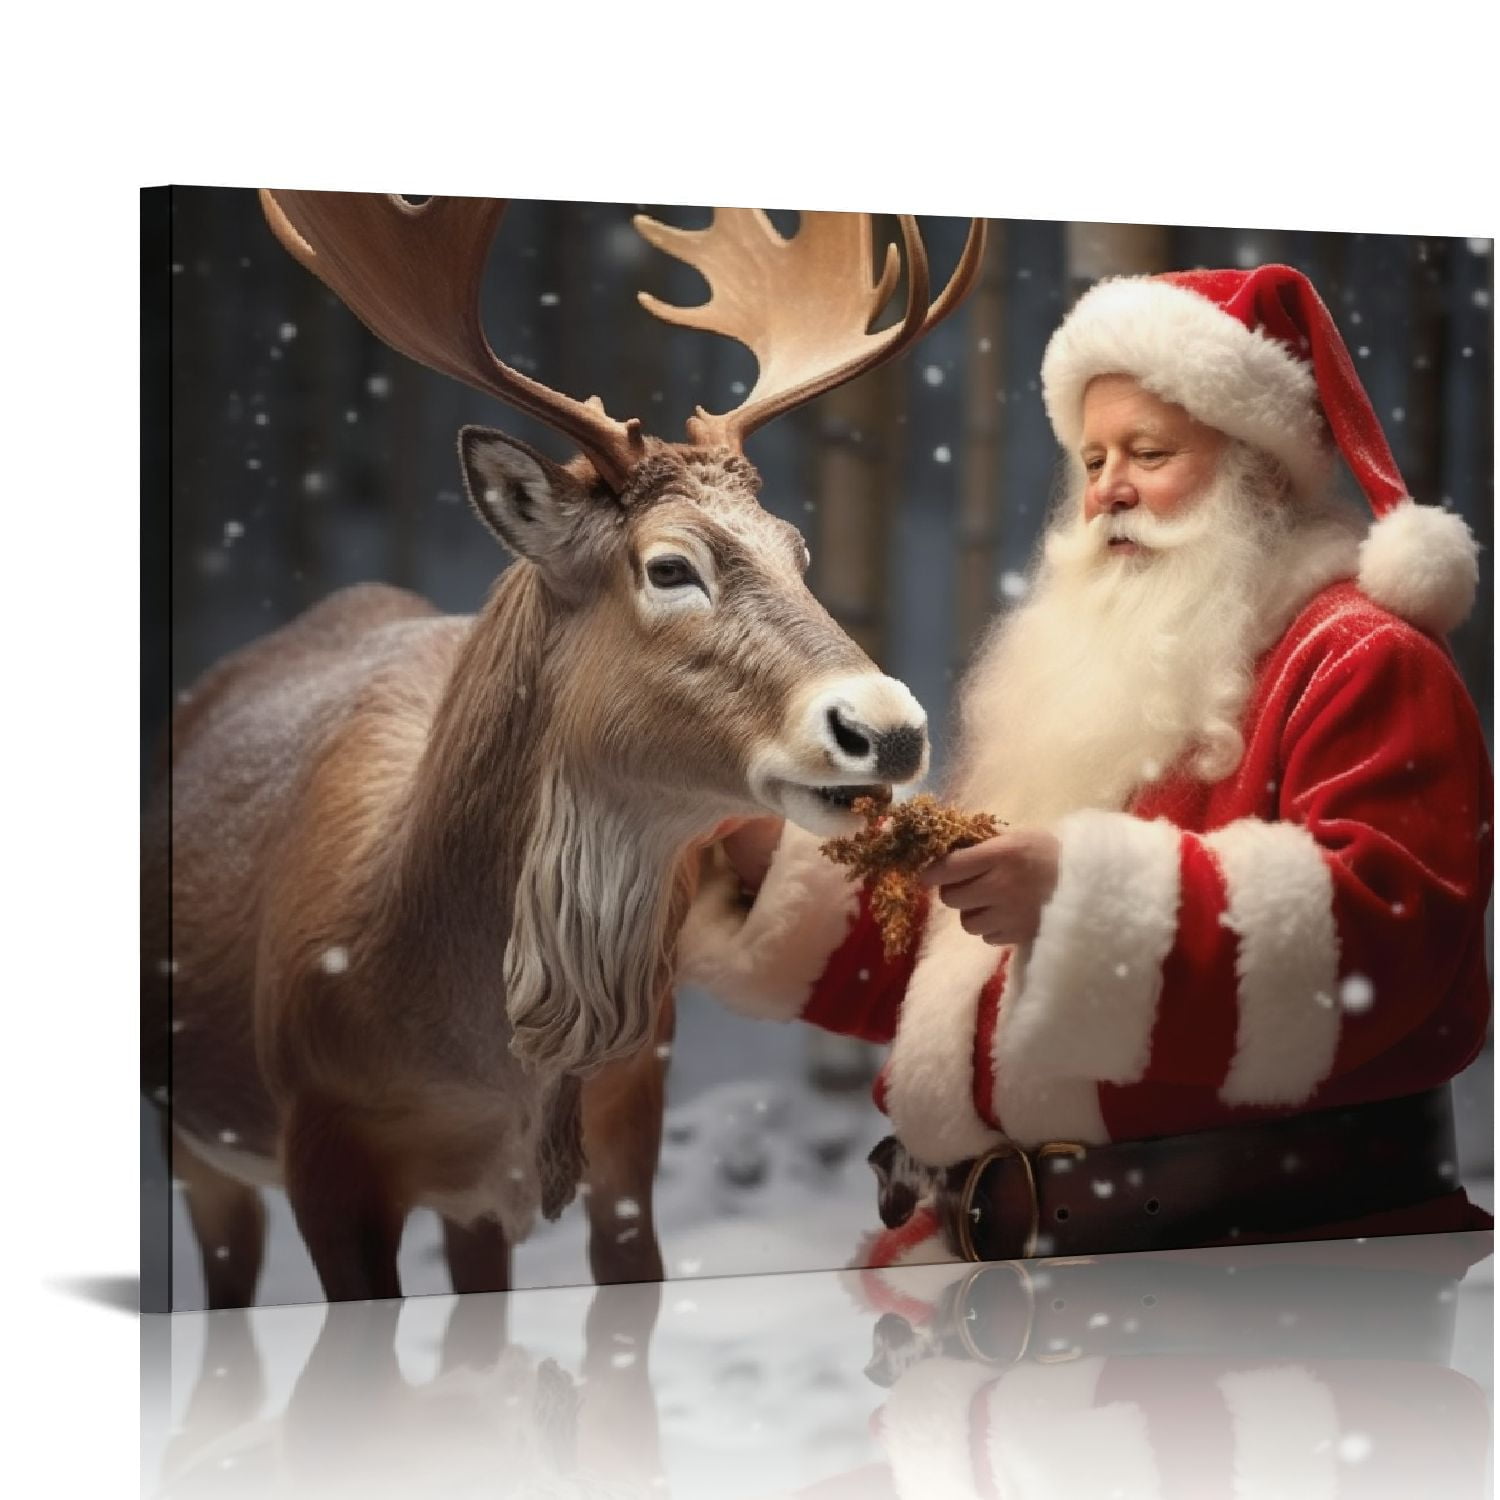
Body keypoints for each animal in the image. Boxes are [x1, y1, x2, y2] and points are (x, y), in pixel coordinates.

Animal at [142, 190, 985, 1307]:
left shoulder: (629, 1116)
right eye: (668, 566)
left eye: (798, 550)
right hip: (195, 1139)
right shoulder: (323, 1147)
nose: (887, 725)